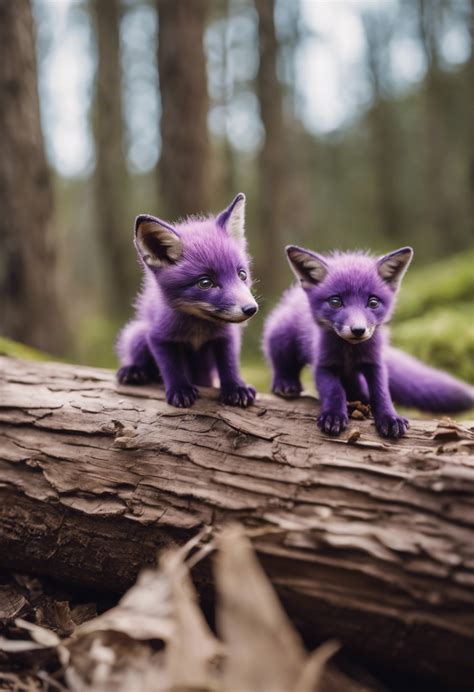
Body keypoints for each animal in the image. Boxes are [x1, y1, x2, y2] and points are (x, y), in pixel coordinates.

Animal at [116, 193, 258, 408]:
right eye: (205, 282)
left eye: (242, 275)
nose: (251, 309)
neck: (197, 328)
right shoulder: (159, 337)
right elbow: (171, 367)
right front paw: (180, 389)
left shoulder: (226, 336)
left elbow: (229, 364)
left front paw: (235, 388)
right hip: (138, 333)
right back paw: (133, 370)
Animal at [264, 245, 473, 439]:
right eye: (335, 302)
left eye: (373, 302)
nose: (358, 330)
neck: (349, 352)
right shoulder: (323, 365)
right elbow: (333, 391)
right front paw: (333, 415)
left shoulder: (375, 363)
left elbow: (382, 392)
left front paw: (389, 417)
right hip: (281, 339)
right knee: (281, 363)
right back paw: (286, 384)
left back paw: (361, 399)